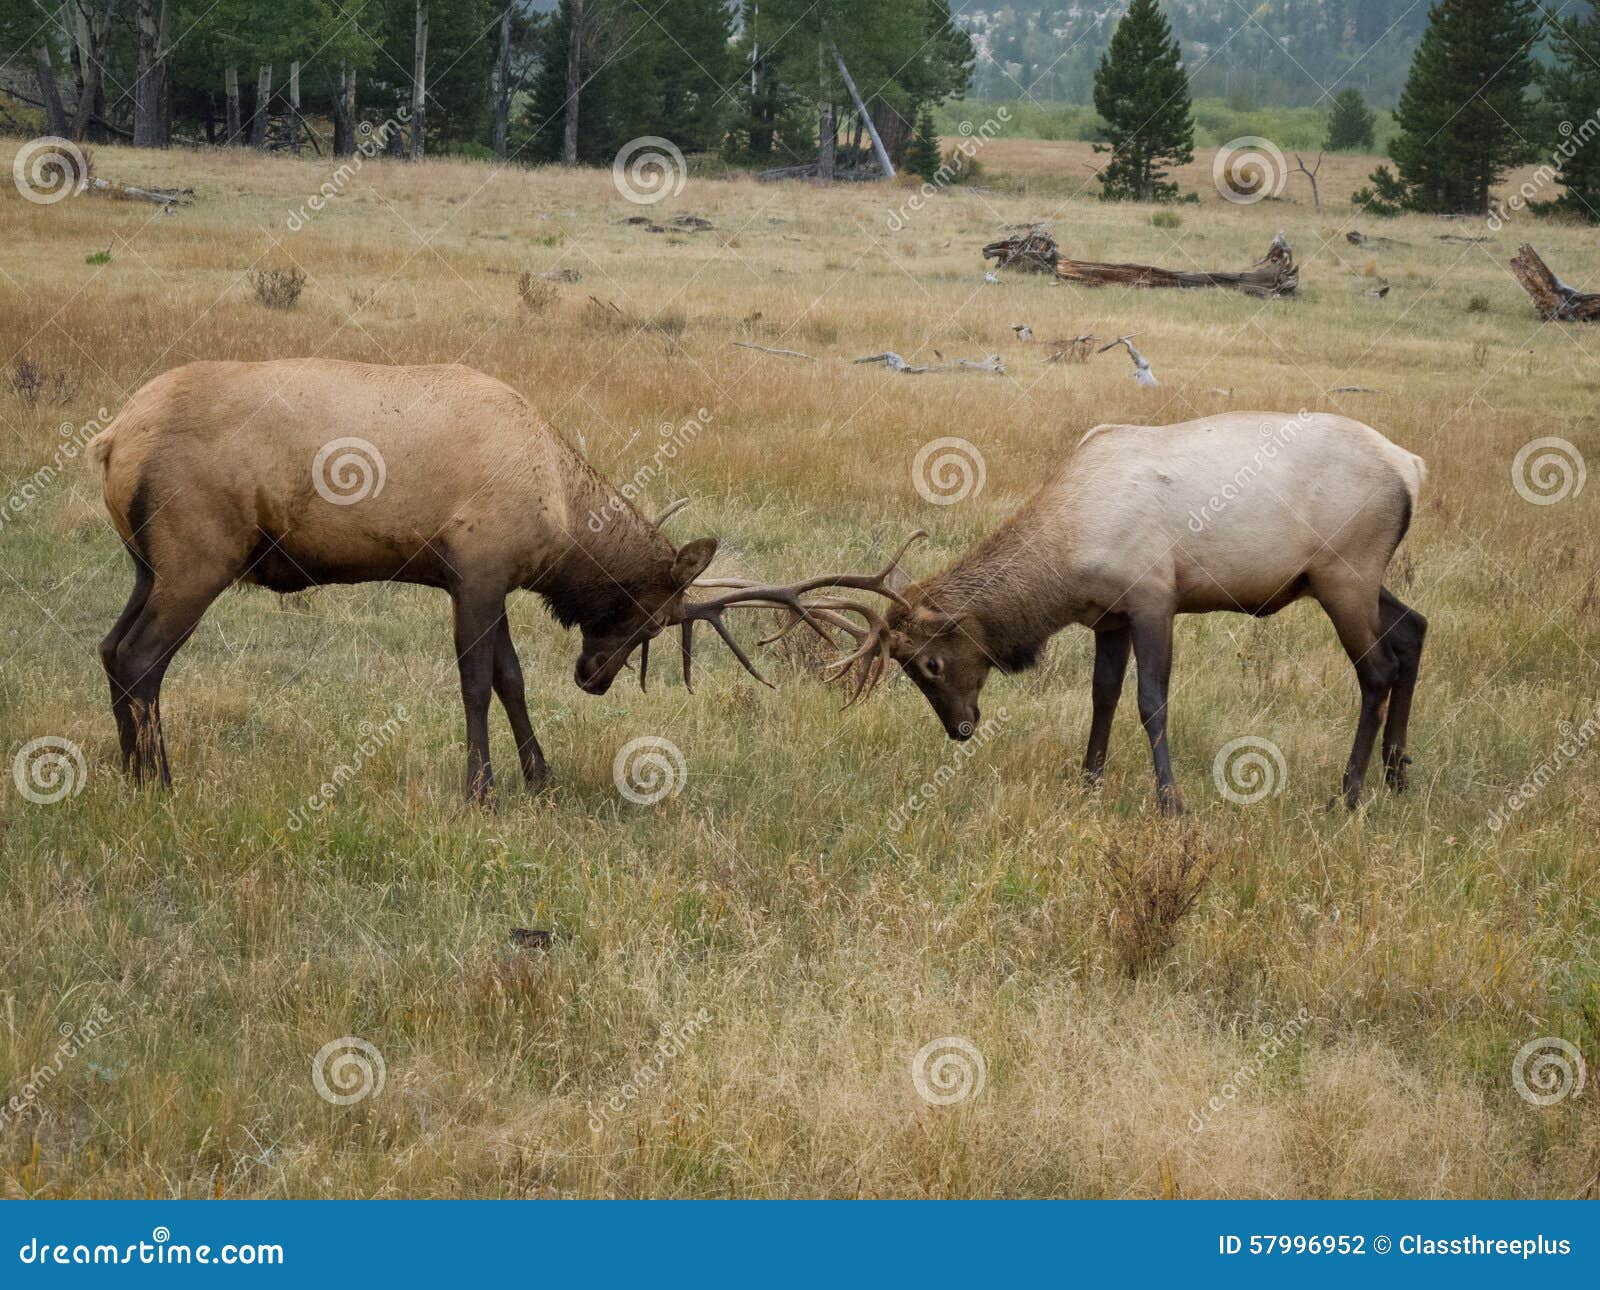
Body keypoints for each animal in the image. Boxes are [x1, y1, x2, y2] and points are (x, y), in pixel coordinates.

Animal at [86, 358, 888, 803]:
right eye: (653, 616)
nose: (594, 678)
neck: (560, 510)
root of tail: (112, 437)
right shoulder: (475, 569)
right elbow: (476, 681)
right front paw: (482, 789)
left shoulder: (492, 578)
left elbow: (510, 677)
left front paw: (541, 778)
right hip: (198, 556)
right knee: (142, 658)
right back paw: (161, 783)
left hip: (147, 563)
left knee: (109, 647)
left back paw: (130, 775)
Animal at [749, 412, 1428, 815]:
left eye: (931, 664)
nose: (961, 728)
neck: (1065, 562)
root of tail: (1413, 467)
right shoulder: (1110, 617)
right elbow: (1103, 695)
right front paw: (1088, 781)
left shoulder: (1154, 595)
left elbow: (1150, 701)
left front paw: (1171, 802)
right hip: (1344, 579)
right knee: (1414, 629)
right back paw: (1397, 772)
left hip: (1346, 572)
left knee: (1376, 671)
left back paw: (1350, 792)